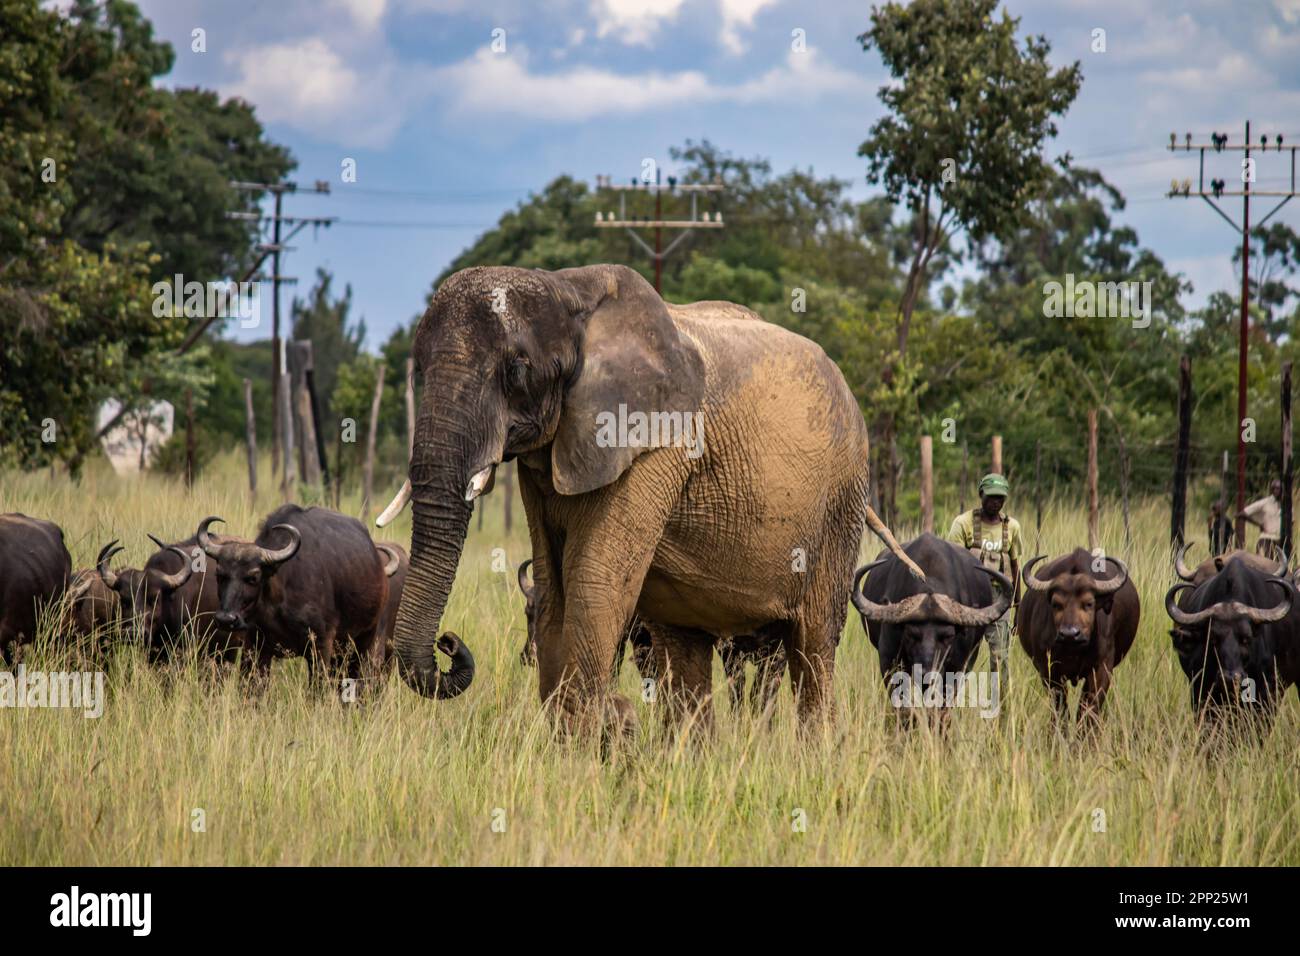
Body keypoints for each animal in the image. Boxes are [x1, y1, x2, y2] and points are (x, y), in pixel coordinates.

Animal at [378, 263, 920, 737]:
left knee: (814, 646)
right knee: (686, 648)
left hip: (840, 499)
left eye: (517, 369)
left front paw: (600, 735)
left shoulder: (655, 439)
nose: (450, 642)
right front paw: (582, 742)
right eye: (418, 369)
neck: (567, 290)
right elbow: (555, 587)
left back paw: (815, 756)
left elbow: (594, 581)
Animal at [853, 533, 1012, 718]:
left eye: (948, 636)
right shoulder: (888, 662)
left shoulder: (958, 668)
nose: (927, 675)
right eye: (911, 634)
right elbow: (903, 706)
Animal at [1016, 549, 1139, 728]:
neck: (1074, 650)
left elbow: (1088, 710)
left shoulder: (1102, 669)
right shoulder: (1049, 670)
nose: (1070, 634)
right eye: (1056, 604)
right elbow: (1060, 709)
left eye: (1089, 603)